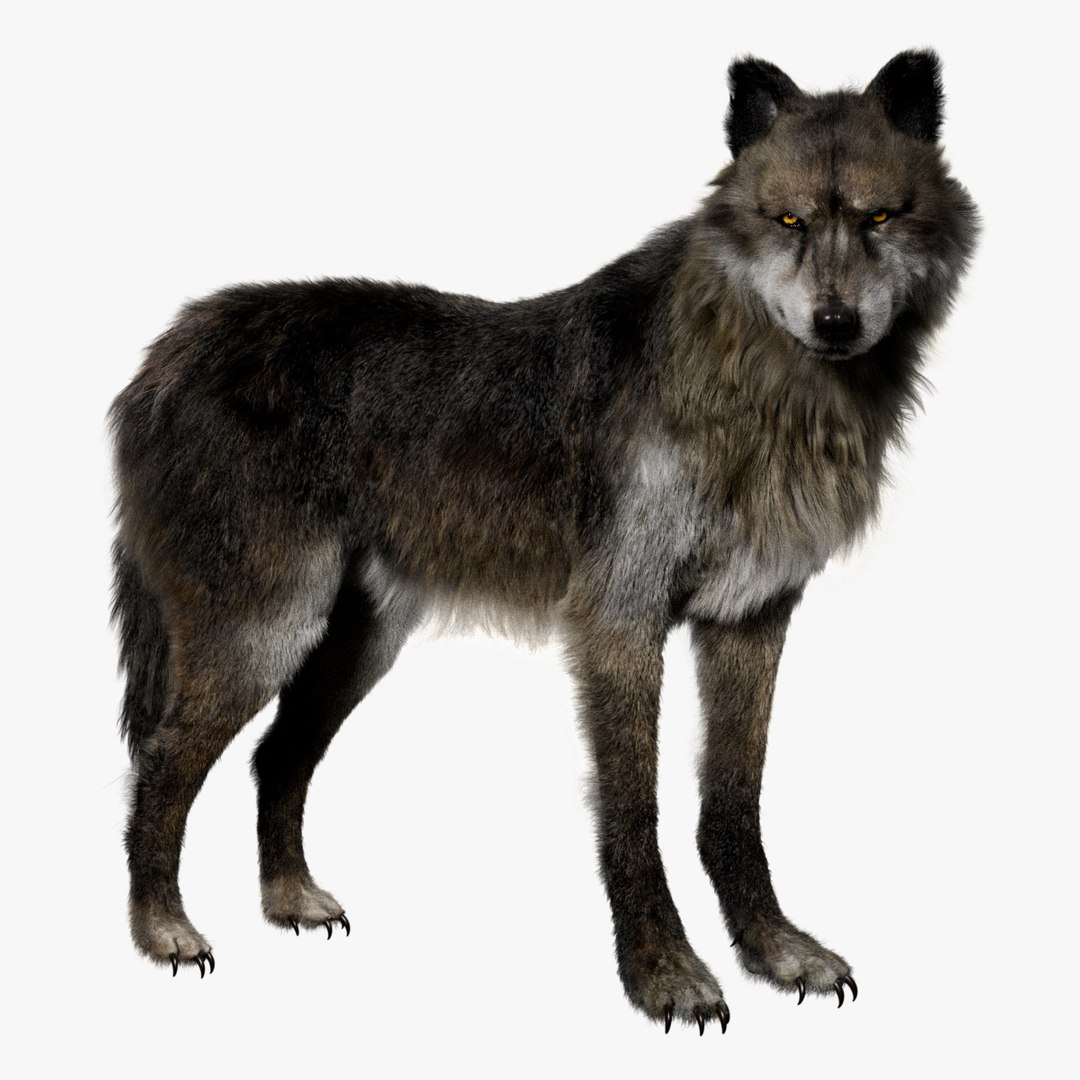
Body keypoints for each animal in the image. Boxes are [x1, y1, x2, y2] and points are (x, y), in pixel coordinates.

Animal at [110, 50, 977, 1032]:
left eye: (880, 217)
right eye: (788, 220)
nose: (836, 324)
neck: (755, 384)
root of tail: (164, 354)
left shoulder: (751, 620)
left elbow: (734, 802)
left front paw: (776, 952)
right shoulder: (618, 624)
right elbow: (633, 815)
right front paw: (664, 974)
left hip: (353, 647)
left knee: (274, 758)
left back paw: (289, 900)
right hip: (264, 637)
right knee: (161, 763)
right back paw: (163, 932)